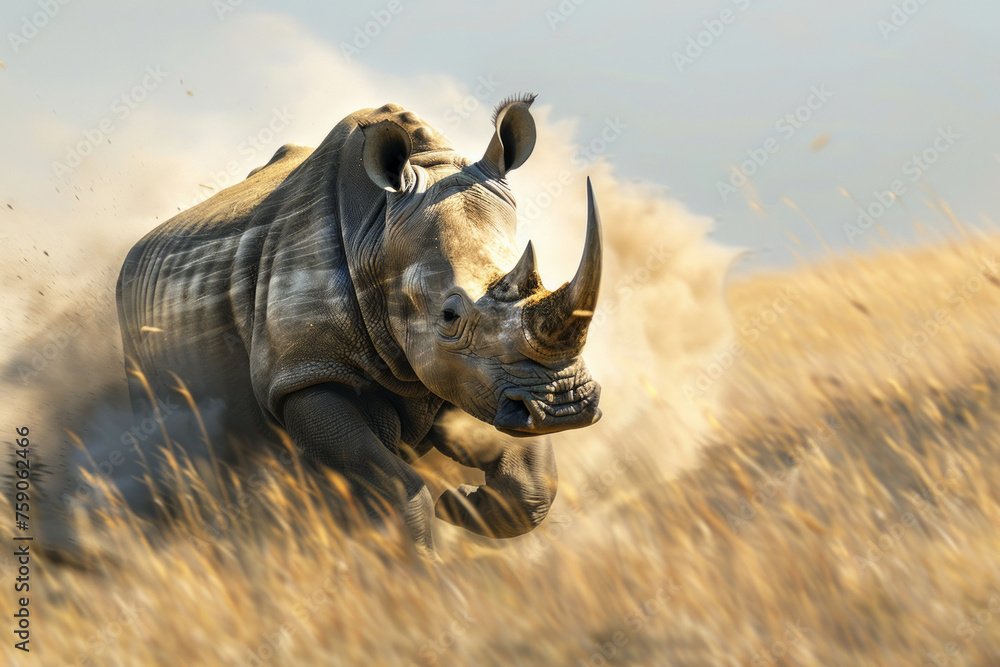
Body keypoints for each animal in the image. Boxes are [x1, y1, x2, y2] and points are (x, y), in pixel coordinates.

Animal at [116, 94, 603, 554]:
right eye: (449, 317)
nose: (564, 405)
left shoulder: (480, 377)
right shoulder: (304, 375)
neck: (375, 233)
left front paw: (462, 504)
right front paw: (416, 568)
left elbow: (530, 480)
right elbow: (397, 488)